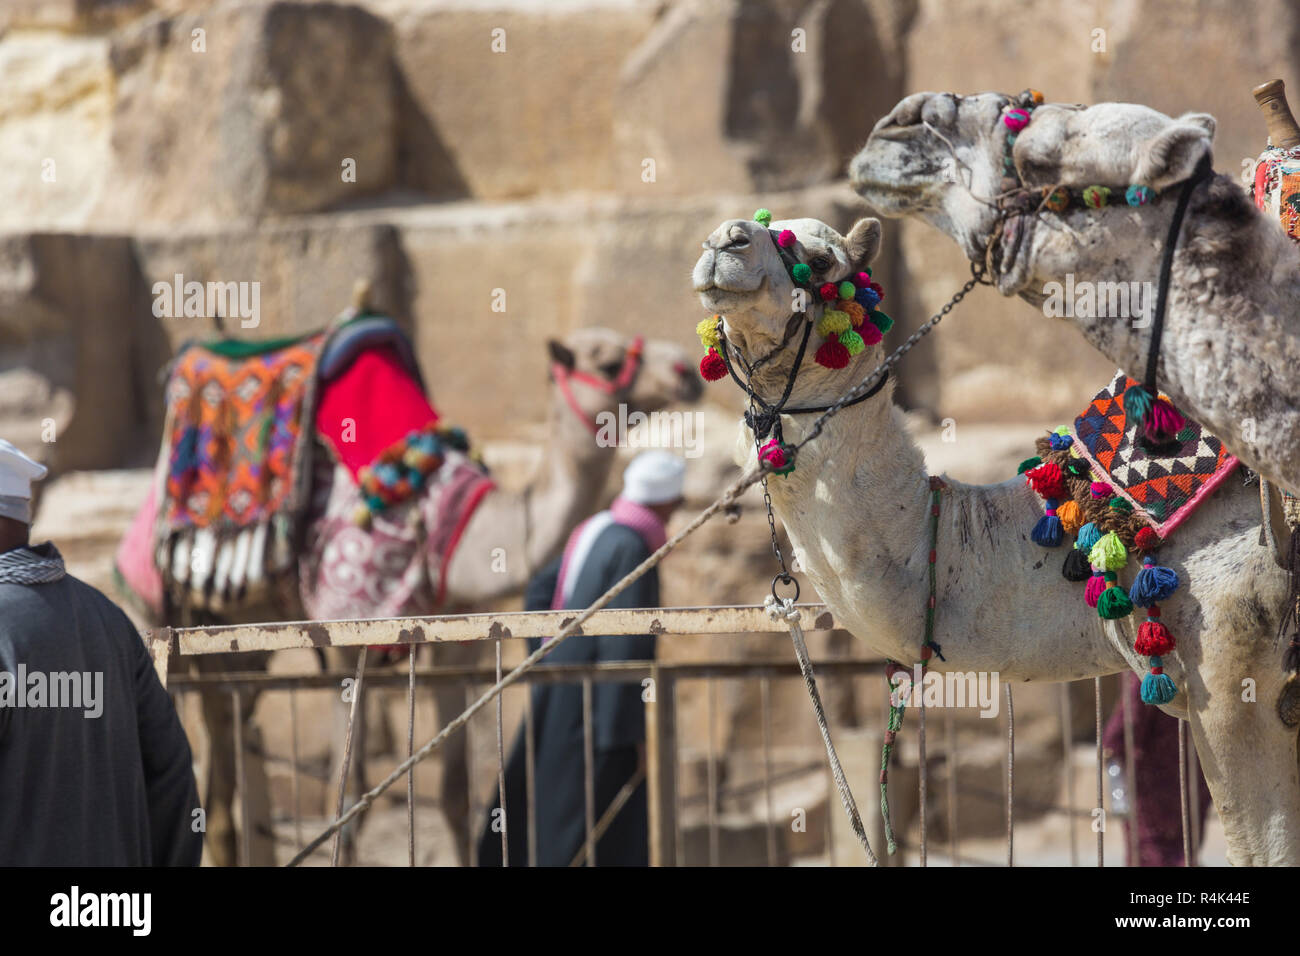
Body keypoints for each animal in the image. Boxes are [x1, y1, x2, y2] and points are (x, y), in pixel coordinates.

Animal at [134, 327, 701, 865]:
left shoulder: (457, 642)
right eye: (607, 361)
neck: (451, 530)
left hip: (245, 638)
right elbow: (349, 791)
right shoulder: (344, 634)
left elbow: (455, 790)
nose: (686, 371)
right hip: (188, 613)